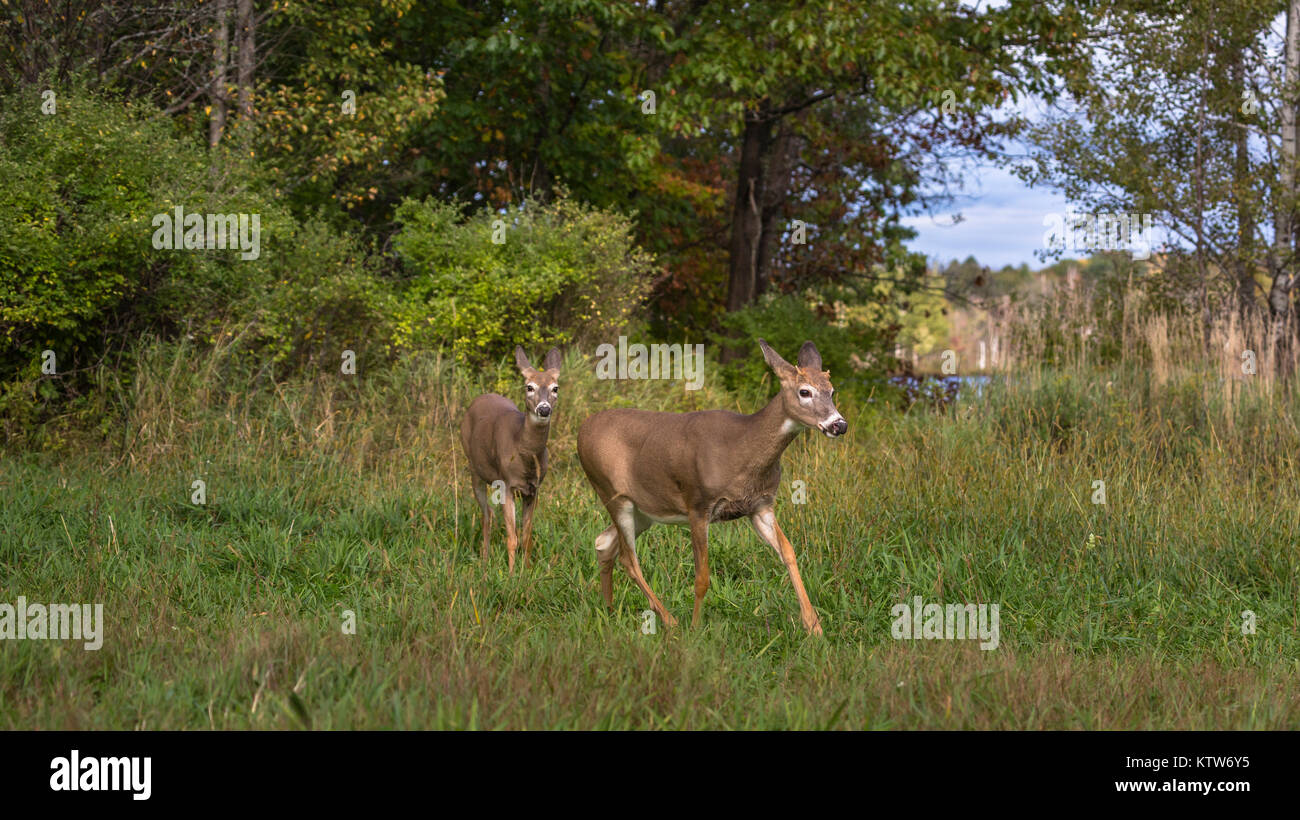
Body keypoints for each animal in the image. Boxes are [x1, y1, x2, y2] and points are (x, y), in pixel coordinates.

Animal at [459, 346, 562, 573]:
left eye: (555, 388)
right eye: (529, 387)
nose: (544, 409)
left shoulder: (534, 490)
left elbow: (526, 537)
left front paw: (527, 571)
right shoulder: (507, 484)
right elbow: (512, 538)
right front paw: (511, 574)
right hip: (474, 468)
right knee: (486, 514)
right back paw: (484, 561)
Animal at [577, 338, 847, 635]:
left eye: (832, 391)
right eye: (804, 391)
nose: (839, 425)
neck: (743, 449)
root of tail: (582, 429)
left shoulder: (761, 506)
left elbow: (788, 552)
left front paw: (813, 626)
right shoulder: (698, 504)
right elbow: (702, 577)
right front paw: (696, 629)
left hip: (644, 510)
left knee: (604, 543)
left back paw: (610, 611)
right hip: (611, 492)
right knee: (629, 559)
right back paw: (670, 622)